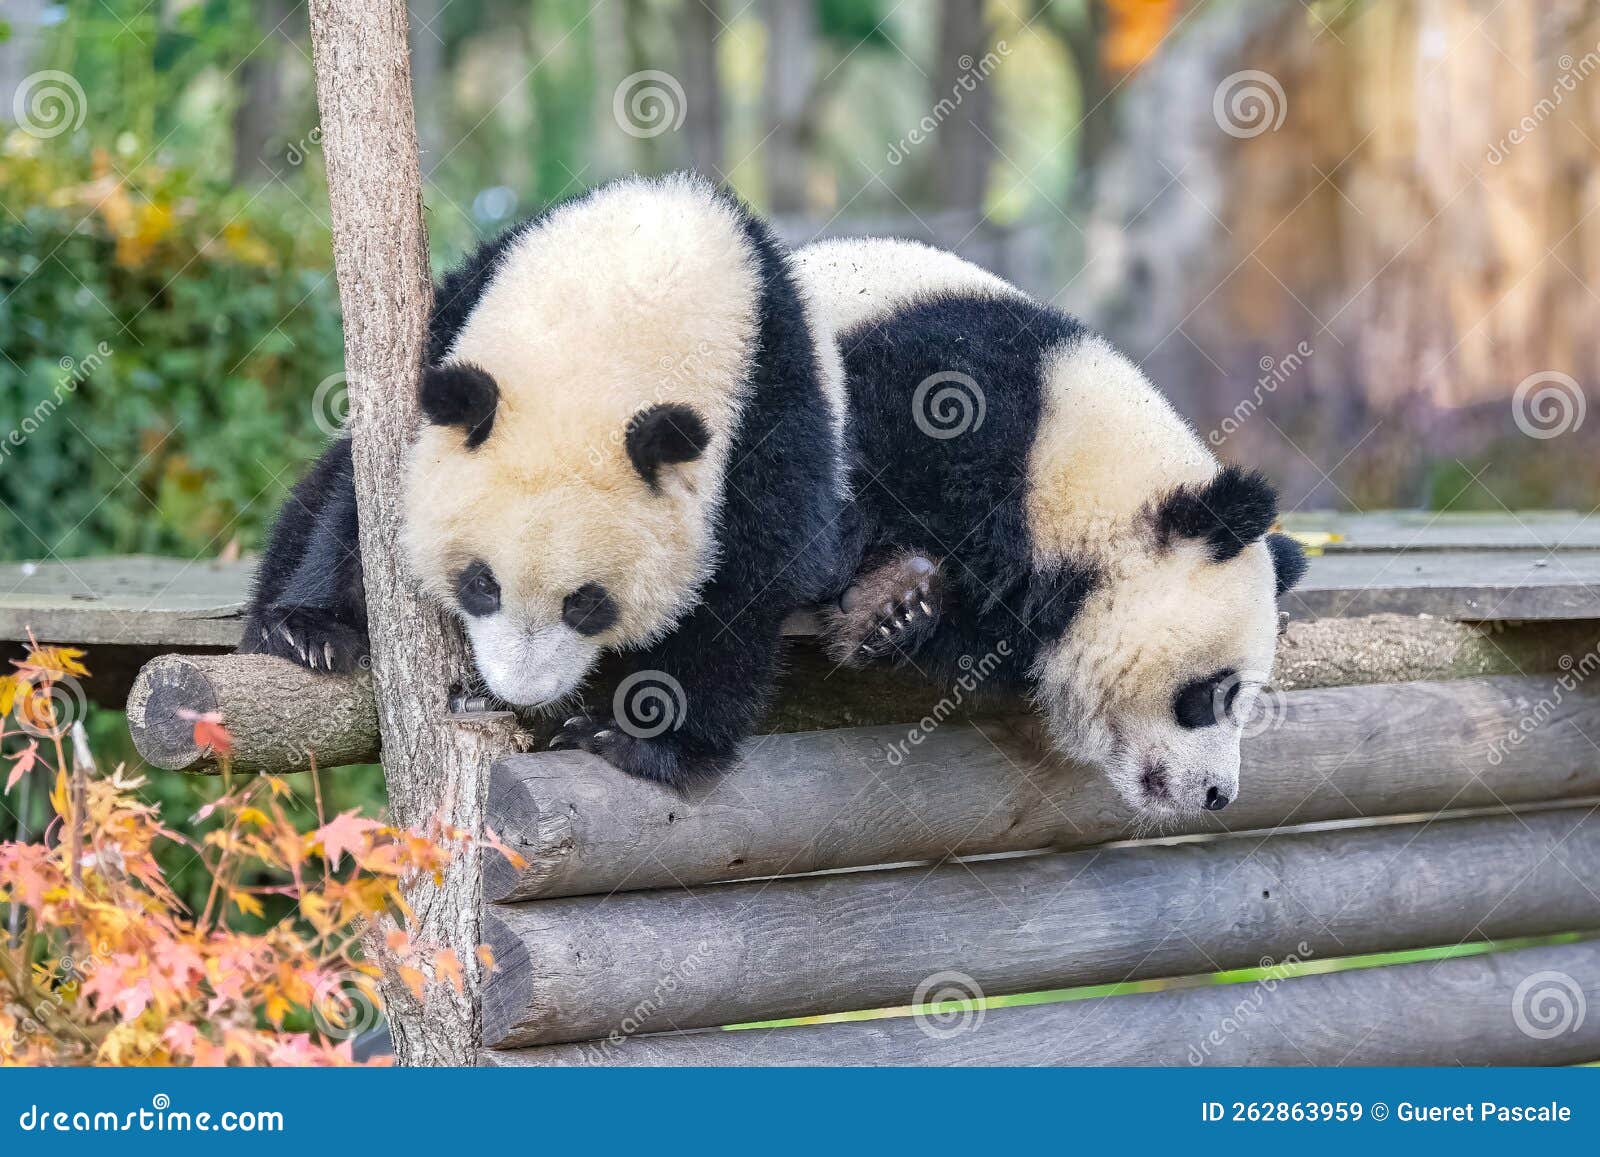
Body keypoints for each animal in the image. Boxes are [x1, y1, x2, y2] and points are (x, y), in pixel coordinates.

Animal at [241, 174, 846, 787]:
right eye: (481, 584)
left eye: (587, 603)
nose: (519, 693)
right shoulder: (456, 324)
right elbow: (366, 494)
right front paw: (313, 631)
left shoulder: (767, 410)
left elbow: (746, 582)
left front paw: (637, 737)